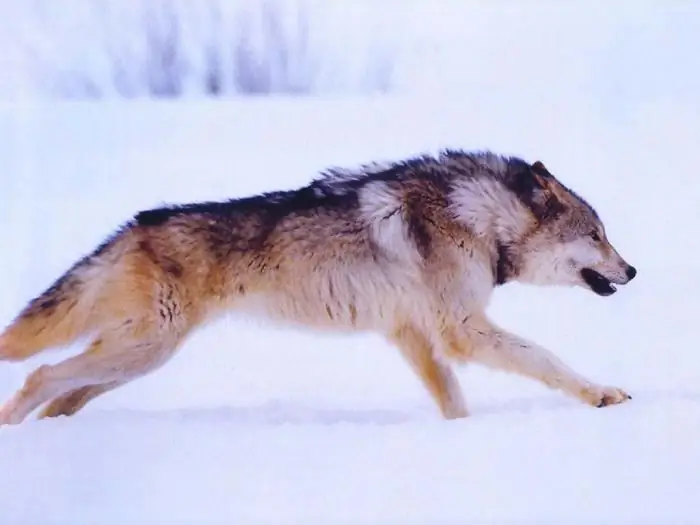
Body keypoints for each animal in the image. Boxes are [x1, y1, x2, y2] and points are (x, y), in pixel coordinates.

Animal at [0, 146, 636, 422]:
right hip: (140, 350)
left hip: (135, 360)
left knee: (63, 396)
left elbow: (453, 400)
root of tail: (134, 226)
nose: (632, 271)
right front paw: (602, 394)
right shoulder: (461, 329)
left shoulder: (412, 334)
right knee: (40, 375)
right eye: (598, 235)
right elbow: (546, 358)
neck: (481, 219)